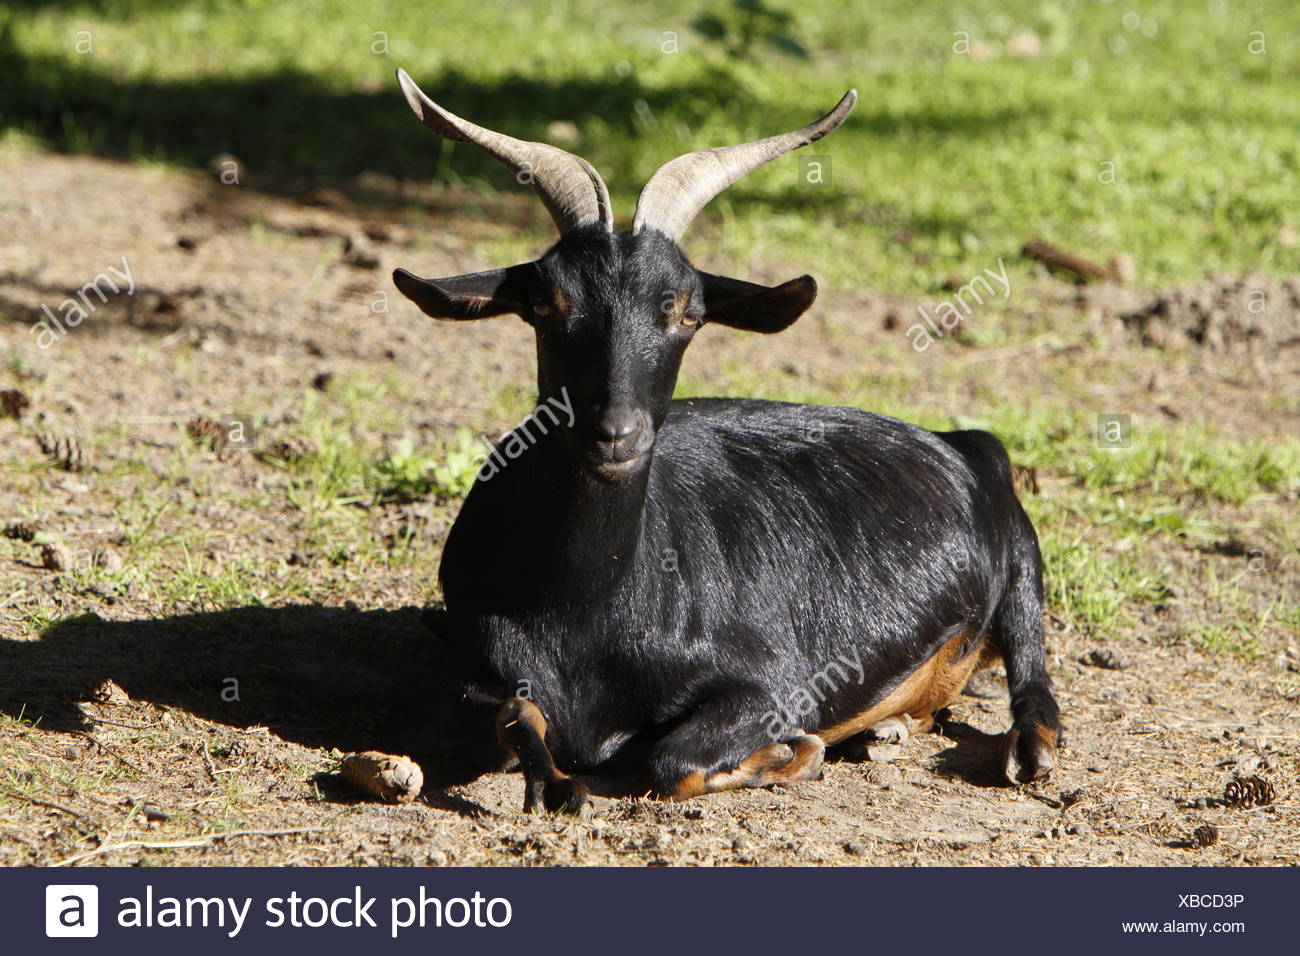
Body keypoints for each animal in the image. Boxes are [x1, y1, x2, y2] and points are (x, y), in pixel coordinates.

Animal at [390, 69, 1061, 813]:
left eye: (689, 312)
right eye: (544, 304)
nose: (616, 432)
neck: (586, 613)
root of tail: (958, 440)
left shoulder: (773, 678)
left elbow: (672, 759)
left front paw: (791, 754)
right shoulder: (473, 662)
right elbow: (507, 711)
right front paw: (552, 782)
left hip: (1019, 558)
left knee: (1032, 665)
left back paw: (1028, 749)